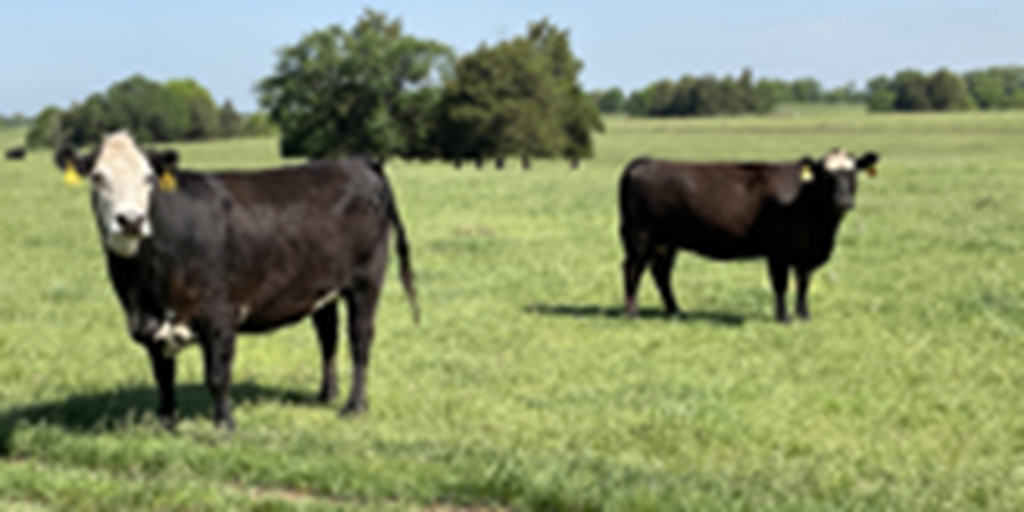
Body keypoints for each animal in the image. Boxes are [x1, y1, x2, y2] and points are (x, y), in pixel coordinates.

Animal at [55, 131, 418, 429]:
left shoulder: (220, 314)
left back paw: (354, 405)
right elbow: (163, 375)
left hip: (366, 282)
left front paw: (225, 425)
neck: (146, 284)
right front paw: (167, 422)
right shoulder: (149, 324)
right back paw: (326, 394)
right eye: (98, 177)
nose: (130, 220)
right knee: (327, 336)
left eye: (149, 178)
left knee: (360, 340)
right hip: (320, 286)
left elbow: (217, 375)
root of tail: (359, 162)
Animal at [619, 149, 879, 323]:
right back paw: (632, 312)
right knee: (632, 269)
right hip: (639, 237)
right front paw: (783, 317)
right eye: (826, 175)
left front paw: (804, 315)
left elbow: (803, 284)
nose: (843, 201)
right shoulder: (778, 252)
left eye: (853, 173)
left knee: (661, 273)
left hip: (665, 242)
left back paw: (675, 311)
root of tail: (644, 162)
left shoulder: (806, 254)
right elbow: (781, 284)